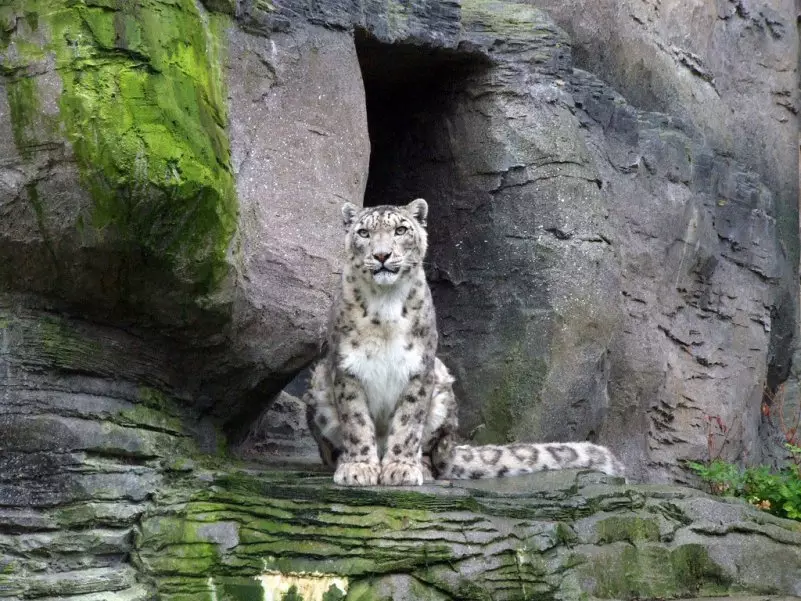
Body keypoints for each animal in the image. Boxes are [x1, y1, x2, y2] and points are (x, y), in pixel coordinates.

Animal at [304, 199, 620, 486]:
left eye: (400, 229)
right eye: (363, 233)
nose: (382, 255)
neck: (385, 304)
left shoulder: (419, 368)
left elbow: (408, 422)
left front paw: (400, 468)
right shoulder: (347, 368)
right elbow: (356, 422)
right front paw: (358, 468)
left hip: (442, 387)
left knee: (439, 458)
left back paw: (421, 467)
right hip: (319, 381)